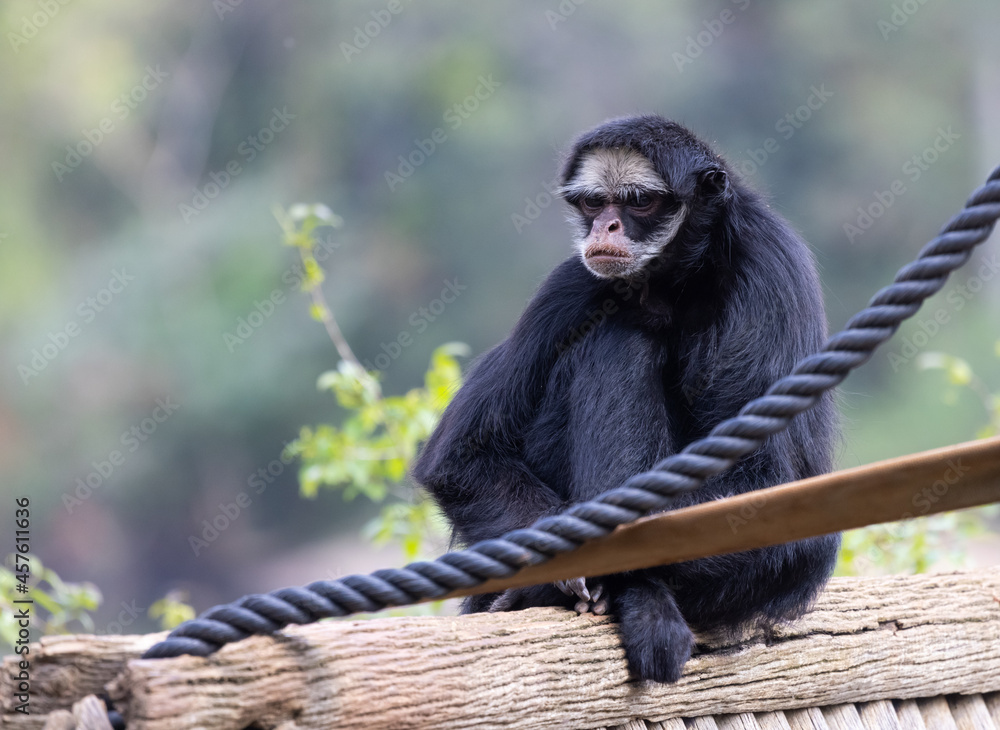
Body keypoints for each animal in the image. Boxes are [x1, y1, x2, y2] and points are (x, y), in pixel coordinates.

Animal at [413, 115, 840, 683]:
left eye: (638, 202)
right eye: (595, 203)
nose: (606, 228)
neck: (674, 281)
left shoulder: (767, 267)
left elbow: (765, 485)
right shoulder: (571, 282)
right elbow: (459, 459)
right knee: (619, 334)